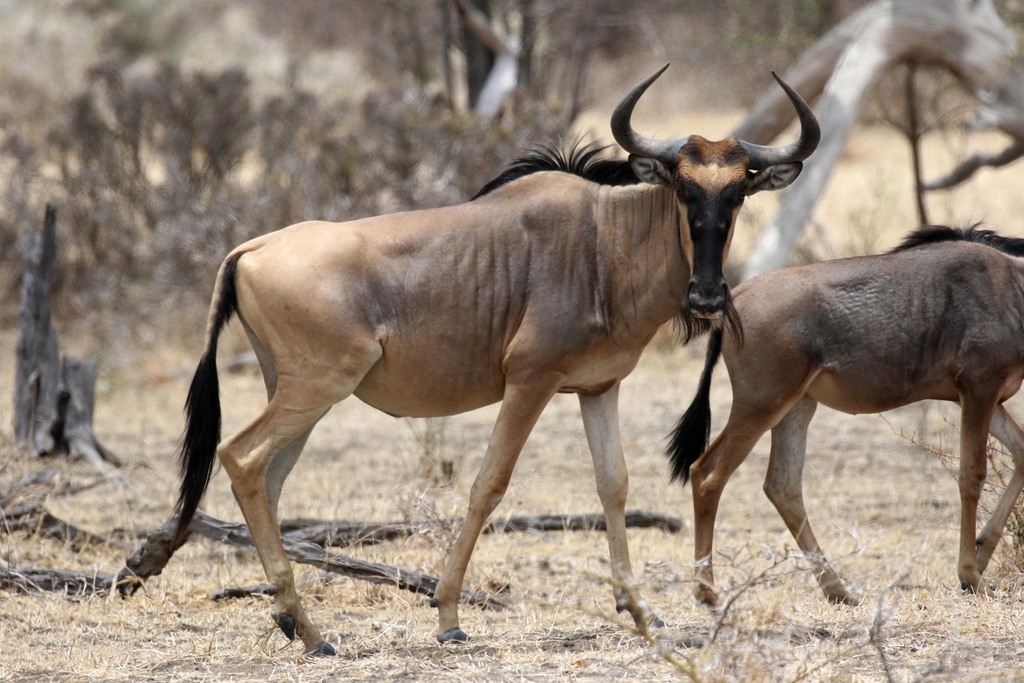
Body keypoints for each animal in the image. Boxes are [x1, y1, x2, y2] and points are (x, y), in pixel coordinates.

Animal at [173, 65, 819, 655]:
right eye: (684, 189)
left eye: (738, 192)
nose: (707, 297)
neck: (606, 244)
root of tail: (251, 247)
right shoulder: (530, 382)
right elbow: (490, 483)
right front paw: (448, 615)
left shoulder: (598, 389)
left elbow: (613, 483)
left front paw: (638, 610)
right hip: (313, 390)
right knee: (241, 458)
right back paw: (308, 627)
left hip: (298, 397)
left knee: (270, 479)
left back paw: (298, 624)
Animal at [670, 226, 1024, 607]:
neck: (1012, 287)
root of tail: (734, 299)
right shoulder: (978, 390)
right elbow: (972, 475)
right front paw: (971, 575)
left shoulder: (987, 398)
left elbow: (1020, 454)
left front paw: (982, 554)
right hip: (760, 406)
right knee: (708, 474)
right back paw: (707, 591)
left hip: (796, 407)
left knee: (783, 485)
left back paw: (836, 589)